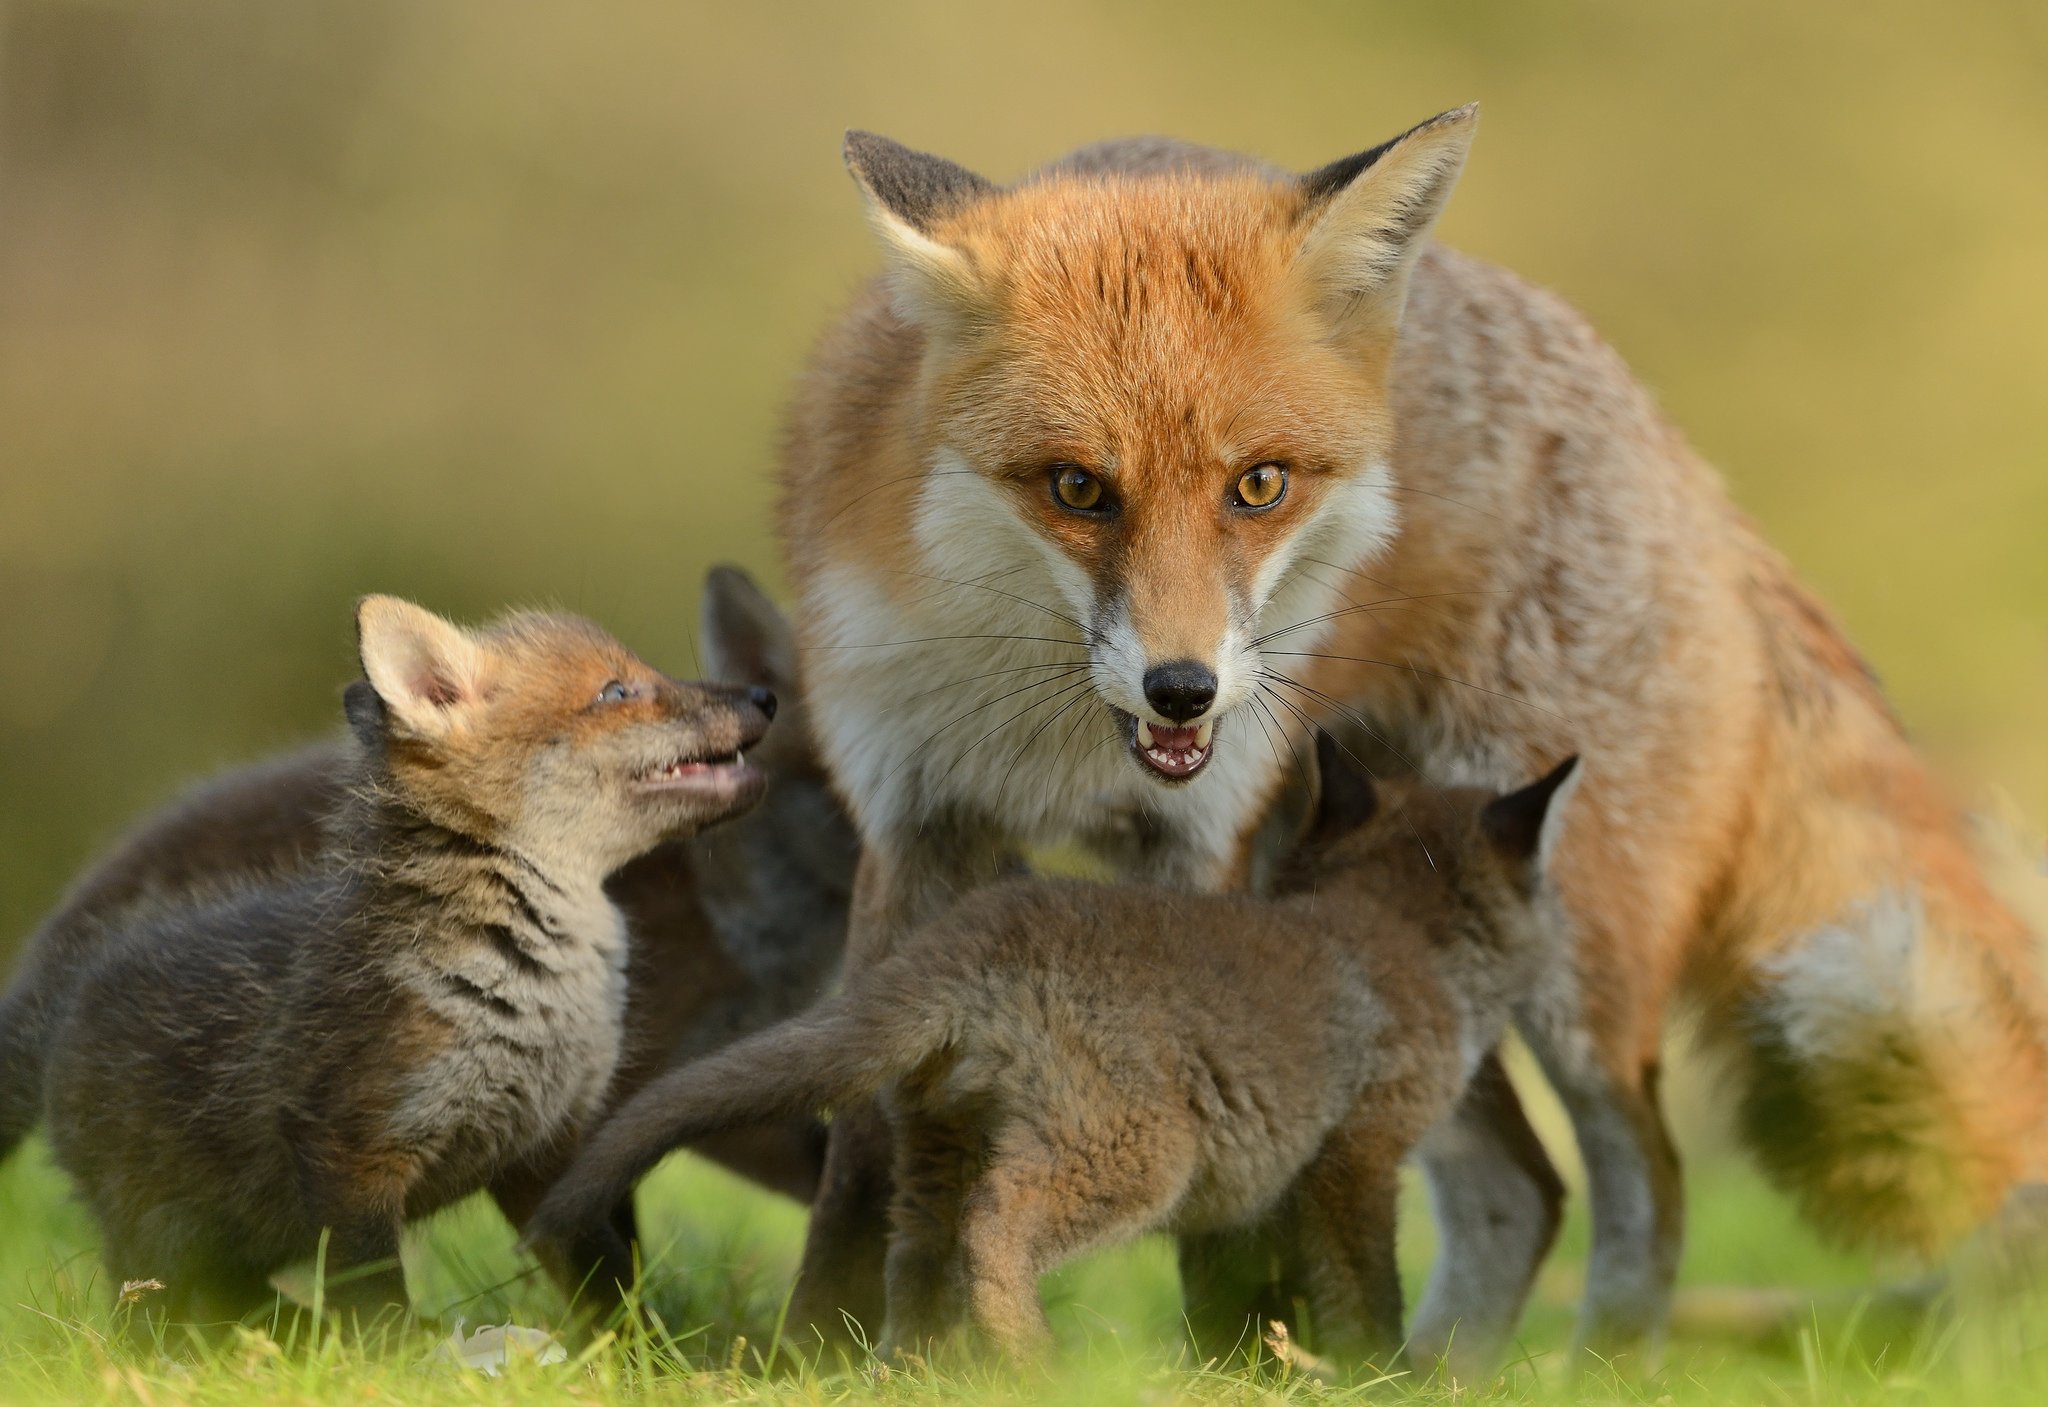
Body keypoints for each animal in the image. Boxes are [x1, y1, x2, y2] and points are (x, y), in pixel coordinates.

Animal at [527, 737, 1581, 1363]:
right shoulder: (1357, 1154)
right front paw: (1378, 1373)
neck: (1388, 931)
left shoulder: (1288, 1183)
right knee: (997, 1222)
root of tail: (980, 932)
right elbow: (1366, 1288)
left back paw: (934, 1372)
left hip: (934, 1147)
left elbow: (1272, 1285)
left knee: (920, 1256)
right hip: (1140, 1154)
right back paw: (1035, 1361)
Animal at [774, 104, 2048, 1370]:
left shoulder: (1200, 843)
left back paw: (1581, 1373)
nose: (1182, 692)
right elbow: (866, 1125)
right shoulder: (911, 821)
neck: (1045, 733)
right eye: (1076, 488)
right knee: (1521, 1191)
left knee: (1644, 1184)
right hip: (1395, 926)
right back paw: (1420, 1377)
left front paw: (1221, 1352)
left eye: (1260, 486)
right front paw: (824, 1347)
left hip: (1562, 946)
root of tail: (1674, 453)